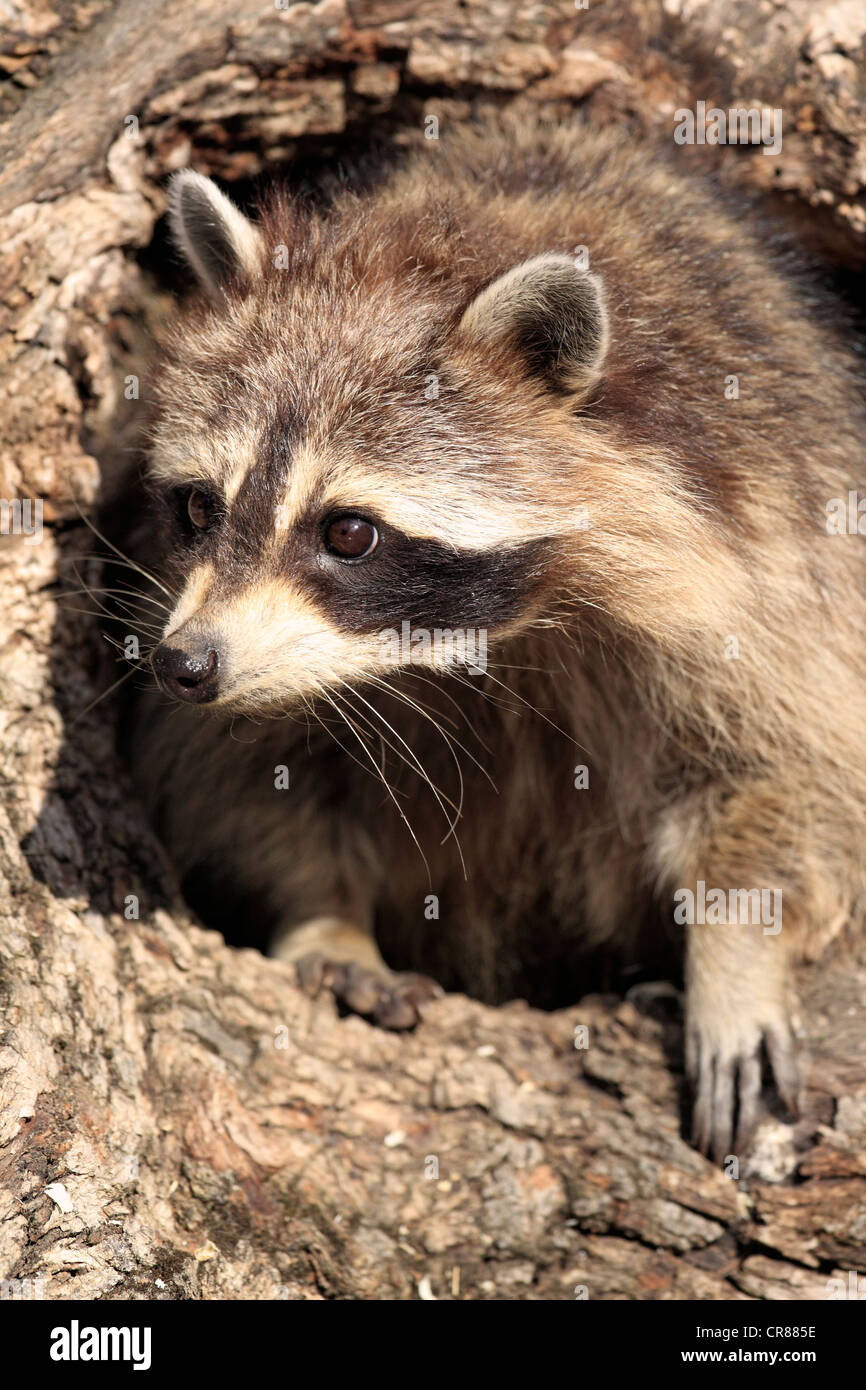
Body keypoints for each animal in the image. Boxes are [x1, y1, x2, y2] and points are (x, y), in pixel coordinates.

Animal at [125, 117, 866, 1162]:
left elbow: (791, 766)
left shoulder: (778, 544)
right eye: (199, 506)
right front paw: (321, 917)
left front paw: (737, 946)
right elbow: (247, 776)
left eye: (348, 532)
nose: (183, 664)